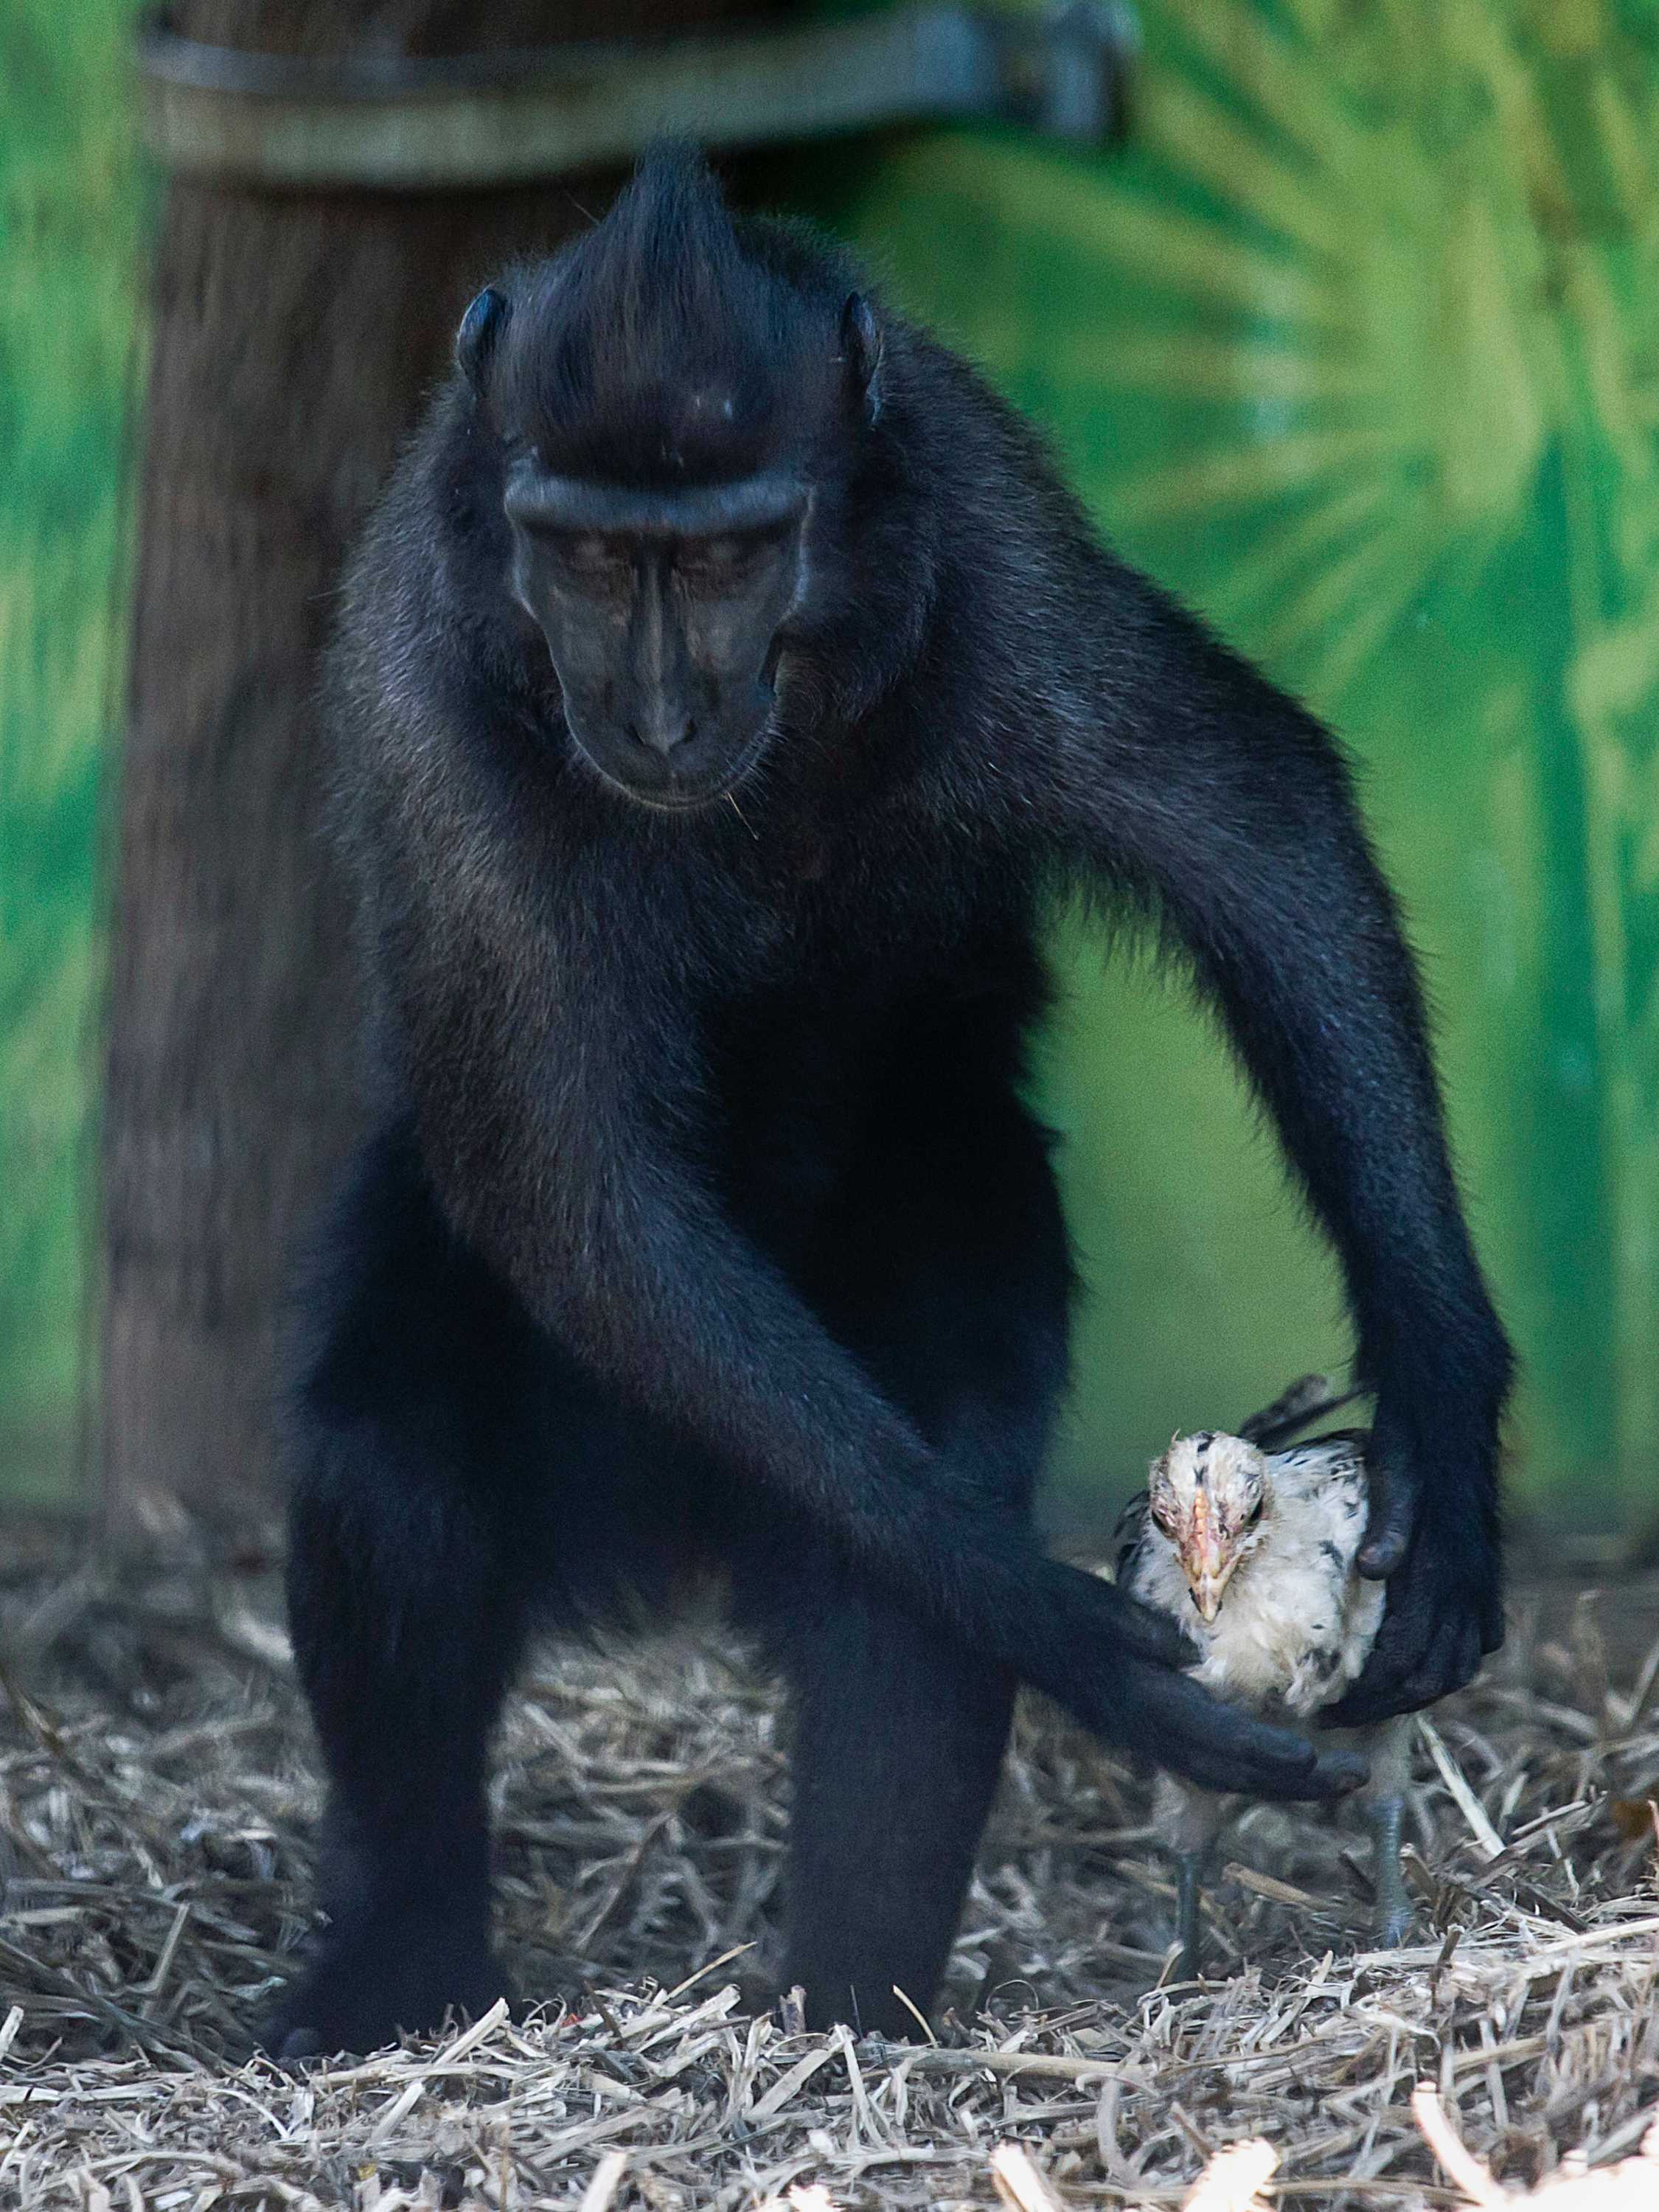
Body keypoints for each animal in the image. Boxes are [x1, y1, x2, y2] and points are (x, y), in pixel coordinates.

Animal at [269, 148, 1510, 2056]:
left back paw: (851, 2006)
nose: (657, 709)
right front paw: (1052, 1624)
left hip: (944, 1195)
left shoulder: (991, 559)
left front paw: (1443, 1401)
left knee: (892, 1580)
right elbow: (562, 1174)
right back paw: (406, 1973)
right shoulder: (428, 674)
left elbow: (1251, 824)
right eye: (583, 554)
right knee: (387, 1468)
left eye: (719, 556)